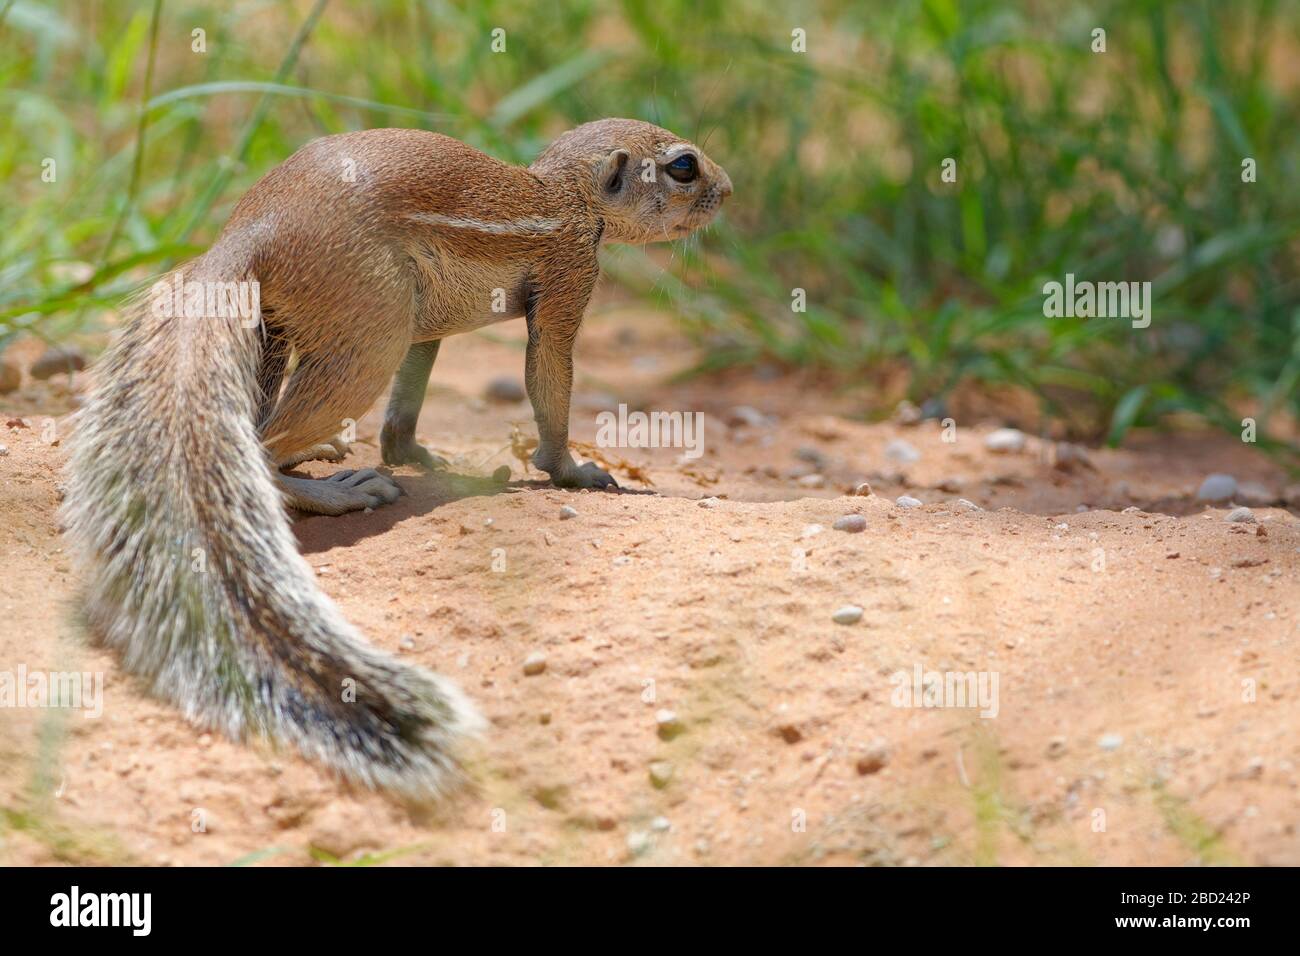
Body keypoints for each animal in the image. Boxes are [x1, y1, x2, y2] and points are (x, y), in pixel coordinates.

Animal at [61, 119, 732, 799]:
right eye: (683, 167)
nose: (728, 192)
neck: (564, 195)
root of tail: (248, 230)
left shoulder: (431, 322)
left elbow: (411, 396)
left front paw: (421, 455)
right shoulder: (569, 274)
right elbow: (547, 375)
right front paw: (576, 471)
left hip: (293, 328)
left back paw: (323, 450)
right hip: (372, 327)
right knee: (265, 447)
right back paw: (339, 490)